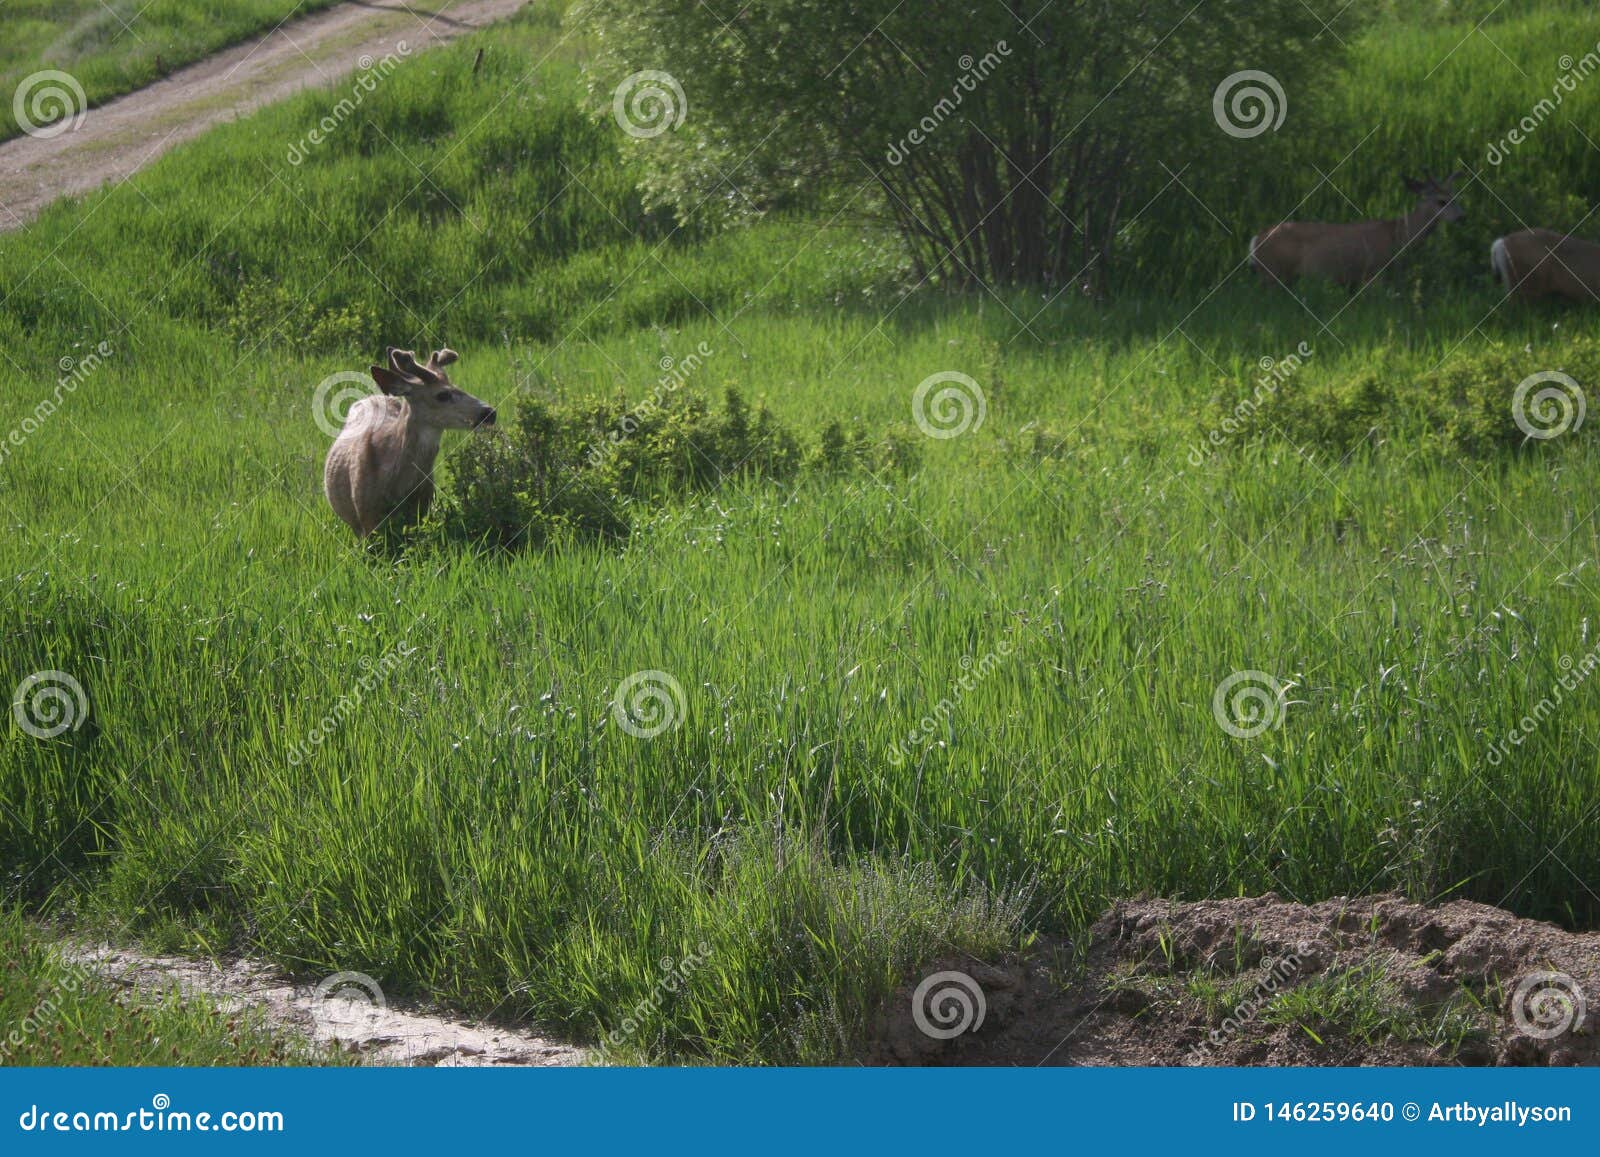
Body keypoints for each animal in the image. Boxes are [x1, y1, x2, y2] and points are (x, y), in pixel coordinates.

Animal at [1250, 172, 1464, 290]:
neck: (1398, 235)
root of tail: (1255, 240)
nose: (1462, 217)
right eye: (1441, 201)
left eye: (1456, 197)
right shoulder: (1374, 271)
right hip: (1273, 273)